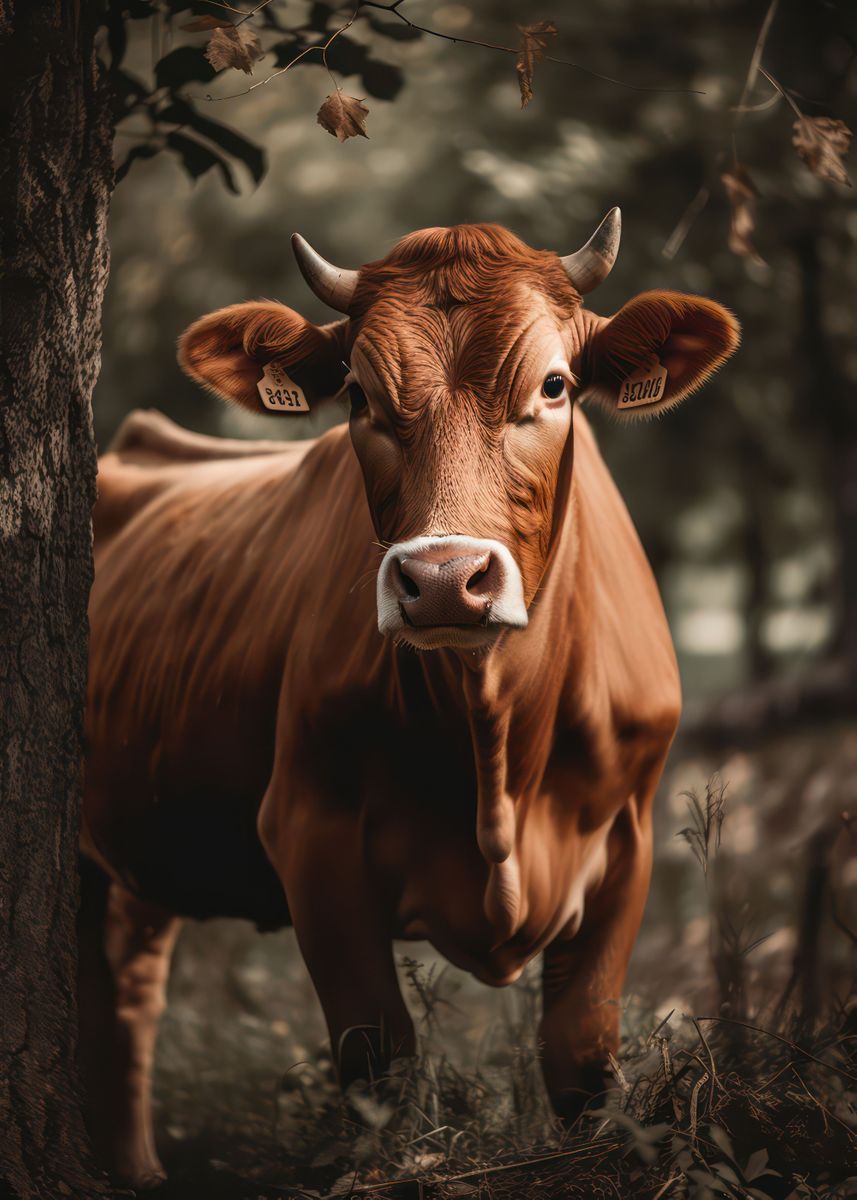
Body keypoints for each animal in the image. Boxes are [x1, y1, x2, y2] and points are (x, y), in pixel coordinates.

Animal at [79, 212, 739, 1188]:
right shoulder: (312, 835)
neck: (498, 749)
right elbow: (376, 1062)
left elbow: (580, 1057)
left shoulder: (628, 840)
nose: (442, 580)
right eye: (357, 394)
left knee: (127, 989)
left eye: (554, 385)